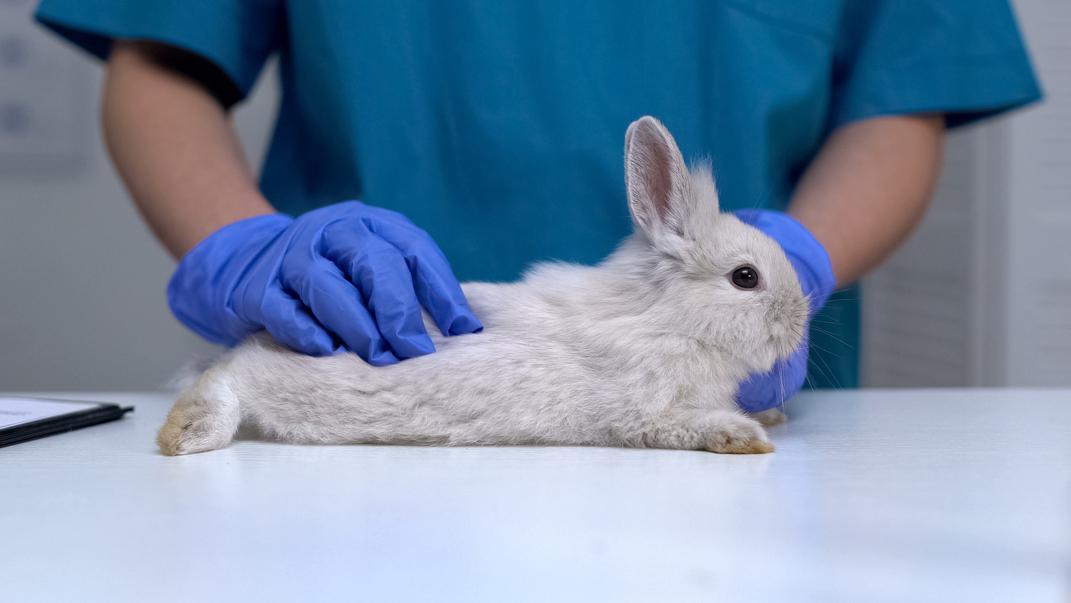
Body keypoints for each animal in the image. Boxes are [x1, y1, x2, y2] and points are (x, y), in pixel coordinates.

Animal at [157, 116, 809, 456]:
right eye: (745, 278)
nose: (800, 321)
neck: (667, 319)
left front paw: (771, 416)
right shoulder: (644, 413)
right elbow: (686, 426)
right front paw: (746, 437)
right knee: (227, 381)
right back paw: (183, 435)